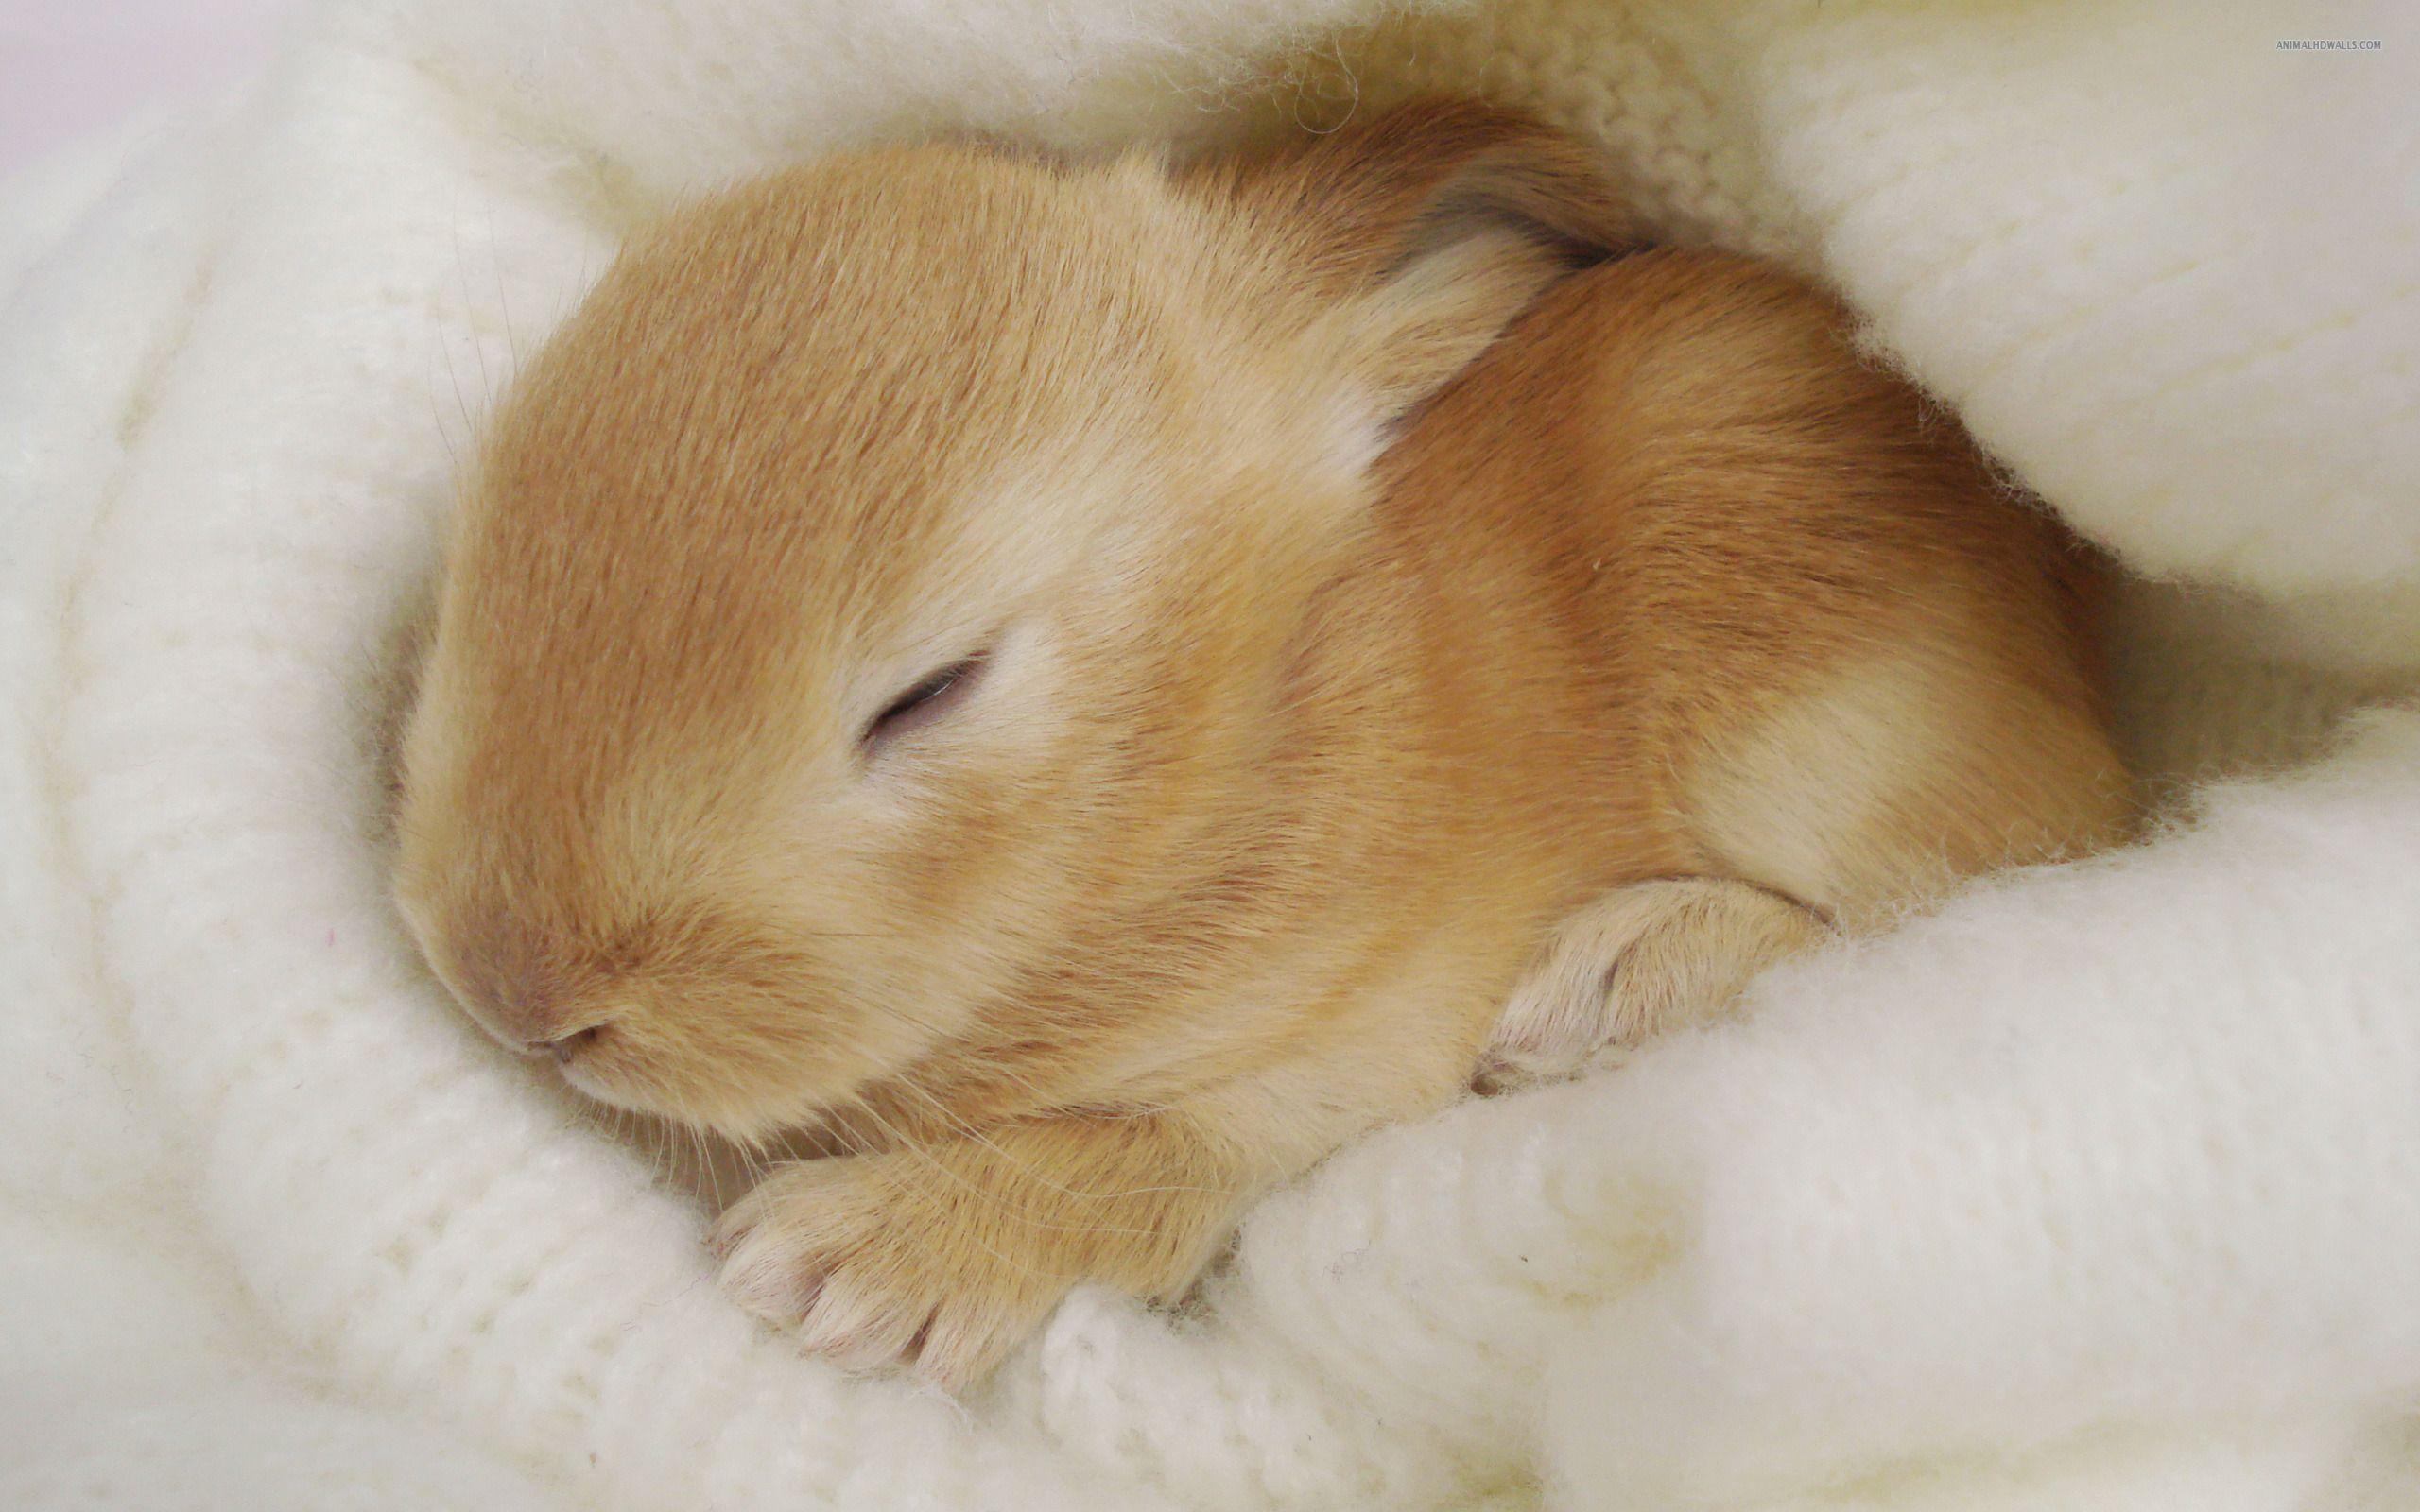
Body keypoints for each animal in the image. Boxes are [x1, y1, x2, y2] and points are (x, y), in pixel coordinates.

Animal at [390, 100, 2133, 1389]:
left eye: (930, 691)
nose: (514, 990)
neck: (1207, 756)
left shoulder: (1332, 1057)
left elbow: (1134, 1160)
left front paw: (840, 1264)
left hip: (1809, 699)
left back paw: (1604, 984)